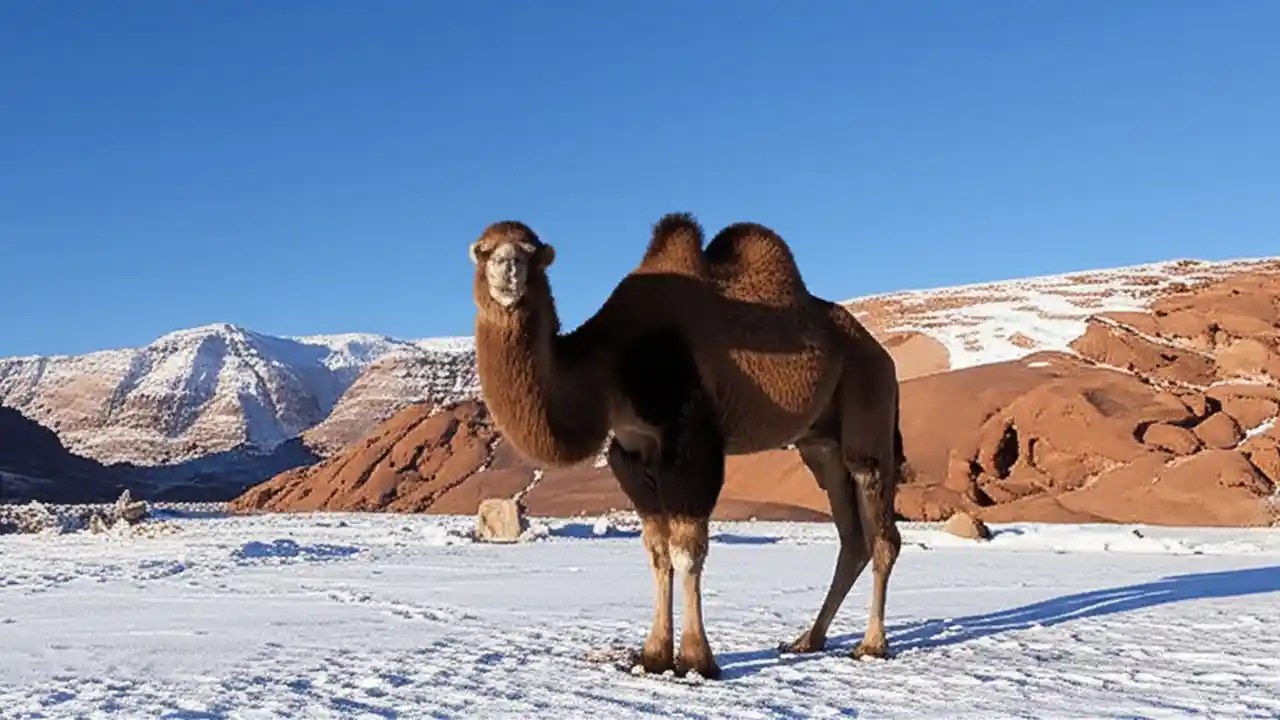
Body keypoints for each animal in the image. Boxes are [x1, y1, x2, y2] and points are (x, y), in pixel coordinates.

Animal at [469, 213, 904, 680]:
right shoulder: (632, 450)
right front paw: (655, 656)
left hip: (869, 405)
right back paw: (808, 640)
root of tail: (882, 353)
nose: (508, 267)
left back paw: (872, 644)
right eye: (483, 249)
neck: (611, 366)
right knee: (851, 537)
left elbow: (687, 549)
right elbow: (658, 552)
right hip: (821, 446)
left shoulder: (692, 437)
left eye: (532, 253)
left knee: (881, 527)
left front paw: (697, 659)